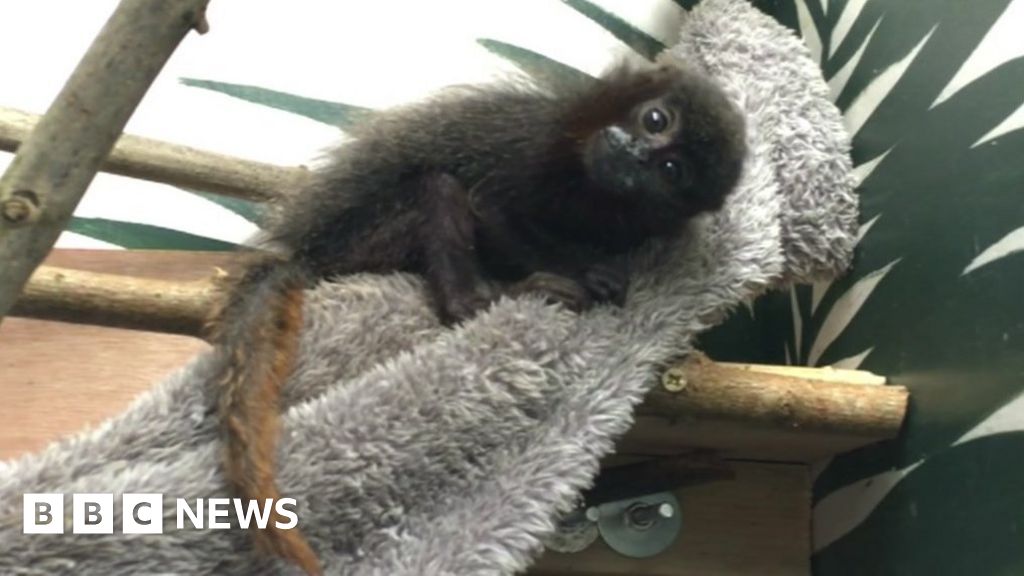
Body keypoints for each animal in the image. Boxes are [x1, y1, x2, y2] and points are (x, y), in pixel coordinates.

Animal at [206, 60, 746, 575]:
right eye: (655, 120)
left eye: (671, 169)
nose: (633, 151)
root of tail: (306, 256)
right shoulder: (533, 146)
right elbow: (490, 207)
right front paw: (586, 271)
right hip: (360, 243)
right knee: (438, 189)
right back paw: (475, 302)